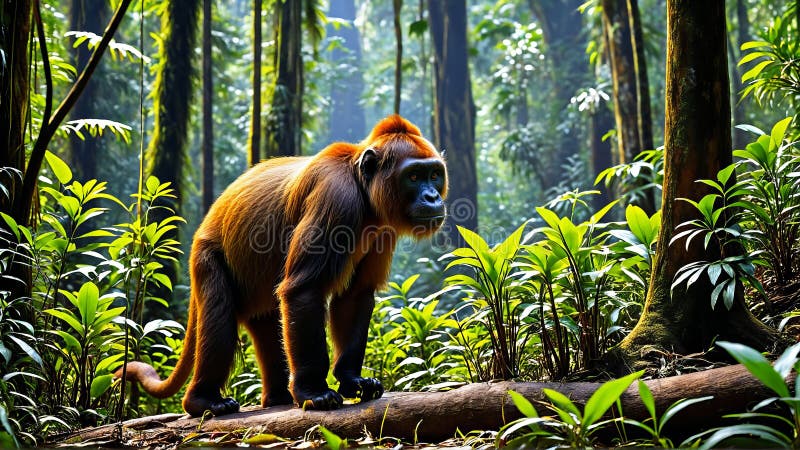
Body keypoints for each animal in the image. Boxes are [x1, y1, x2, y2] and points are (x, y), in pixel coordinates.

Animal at [116, 115, 448, 416]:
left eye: (434, 174)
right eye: (414, 177)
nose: (432, 197)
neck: (363, 191)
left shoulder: (384, 230)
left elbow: (356, 294)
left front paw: (351, 379)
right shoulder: (336, 198)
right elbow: (304, 289)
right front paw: (313, 391)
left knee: (267, 322)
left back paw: (275, 397)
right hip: (205, 258)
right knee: (220, 317)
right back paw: (202, 401)